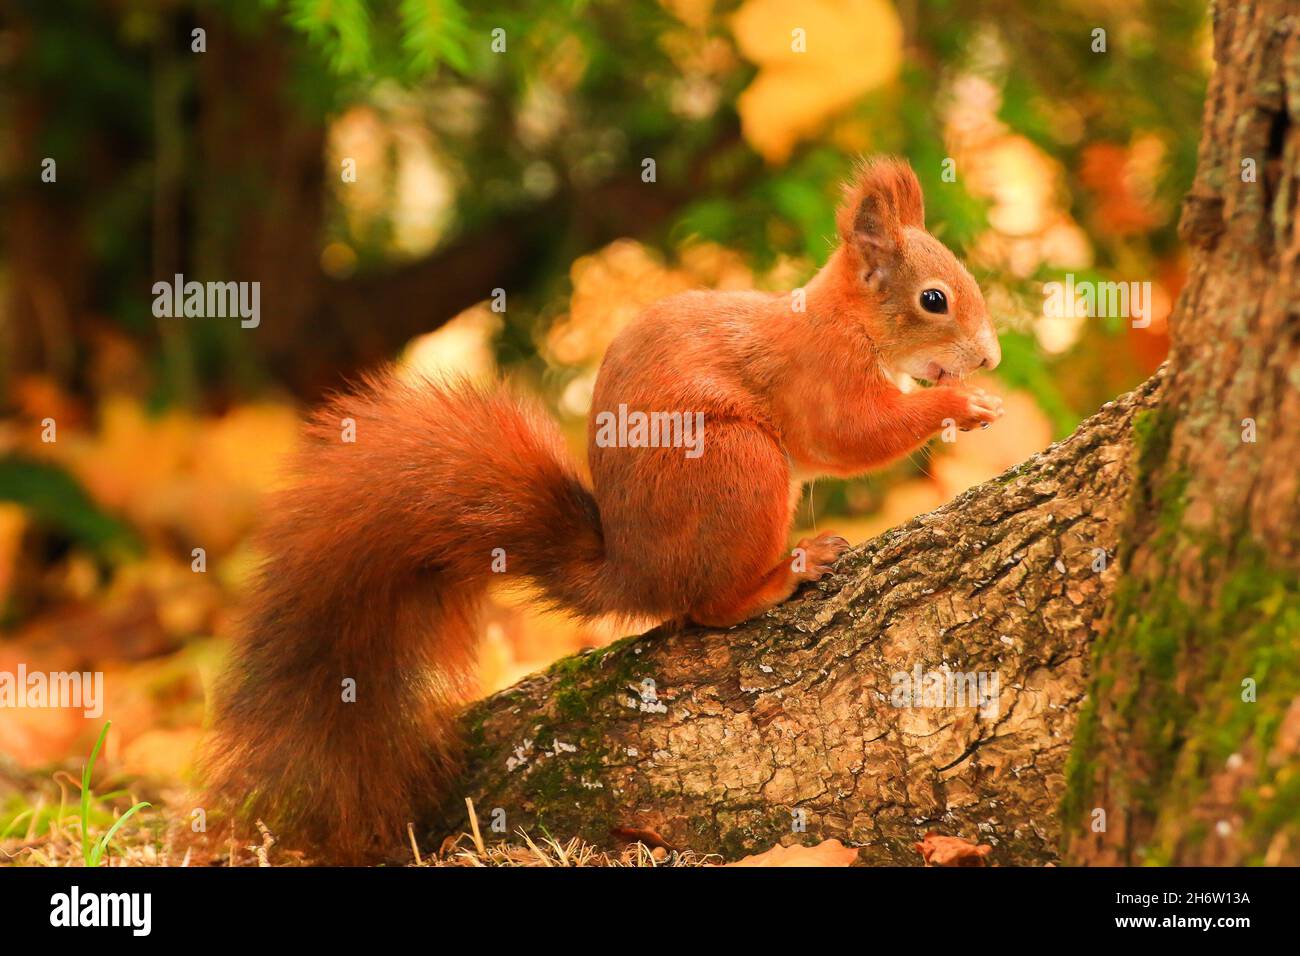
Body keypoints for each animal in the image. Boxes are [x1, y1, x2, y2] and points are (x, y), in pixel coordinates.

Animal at [200, 157, 1003, 863]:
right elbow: (854, 436)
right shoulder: (823, 377)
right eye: (935, 299)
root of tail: (633, 573)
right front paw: (960, 404)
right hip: (739, 469)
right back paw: (785, 573)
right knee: (706, 608)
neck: (846, 320)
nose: (993, 359)